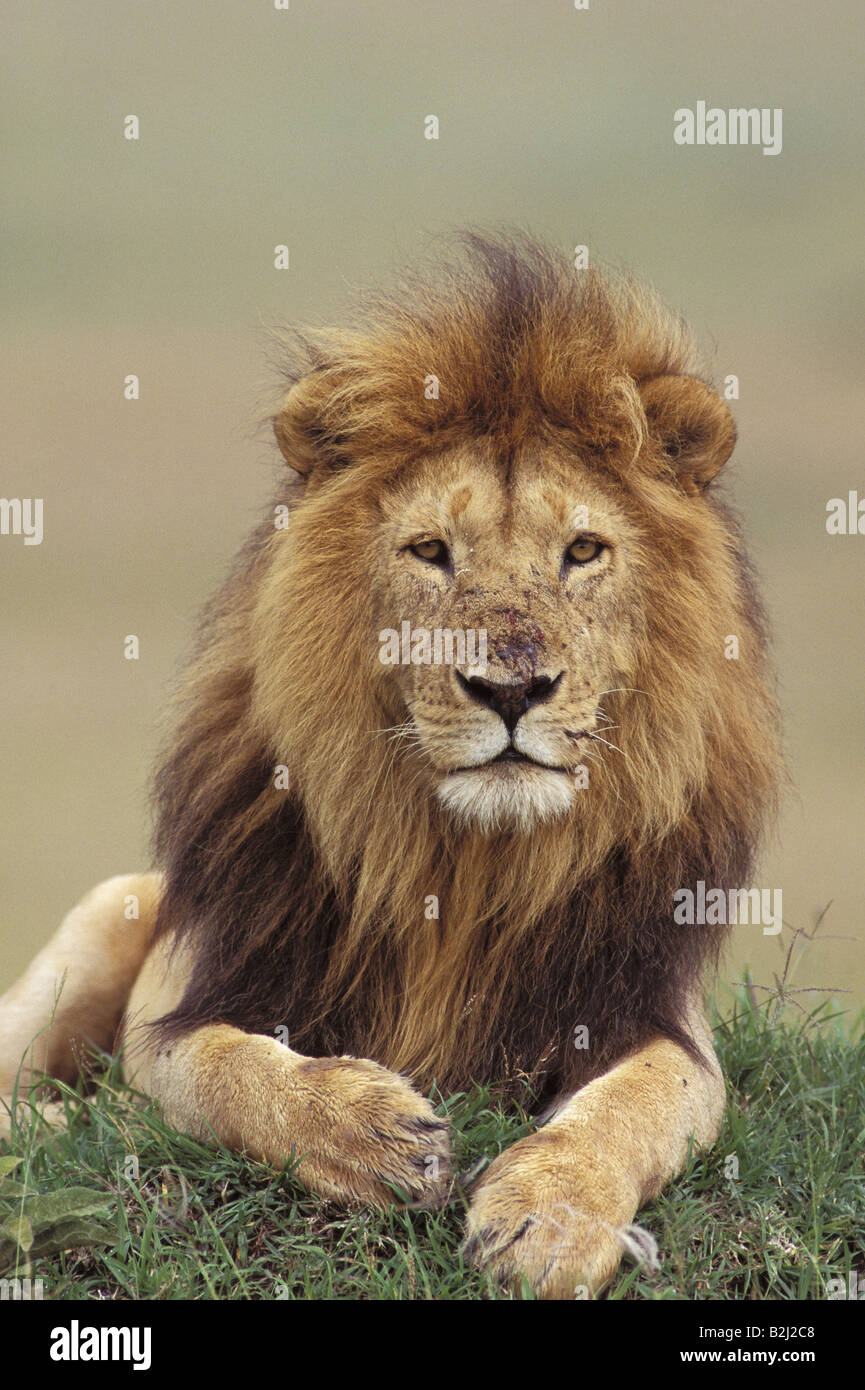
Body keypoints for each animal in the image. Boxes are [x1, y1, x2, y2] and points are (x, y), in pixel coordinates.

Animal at [0, 233, 781, 1298]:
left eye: (583, 551)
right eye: (429, 550)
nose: (509, 688)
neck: (465, 861)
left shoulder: (656, 1019)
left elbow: (627, 1112)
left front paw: (548, 1221)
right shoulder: (181, 1002)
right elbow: (221, 1067)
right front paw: (365, 1134)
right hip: (110, 909)